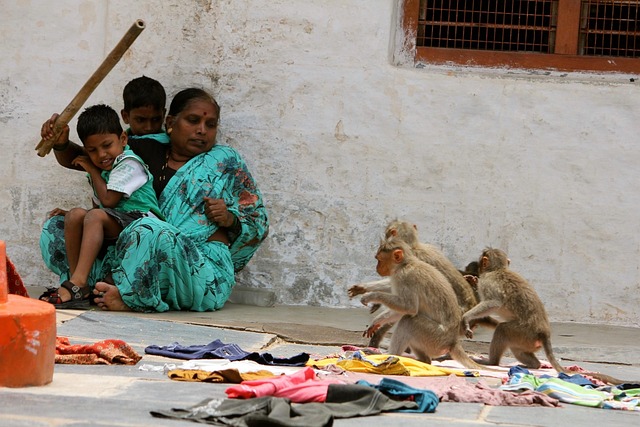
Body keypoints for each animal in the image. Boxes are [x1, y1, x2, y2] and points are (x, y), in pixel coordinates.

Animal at [354, 237, 485, 370]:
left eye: (379, 259)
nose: (377, 267)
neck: (406, 264)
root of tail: (453, 342)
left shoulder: (405, 277)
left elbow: (409, 307)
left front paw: (372, 296)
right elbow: (403, 311)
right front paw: (376, 322)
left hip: (436, 339)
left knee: (409, 322)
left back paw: (391, 355)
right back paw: (421, 361)